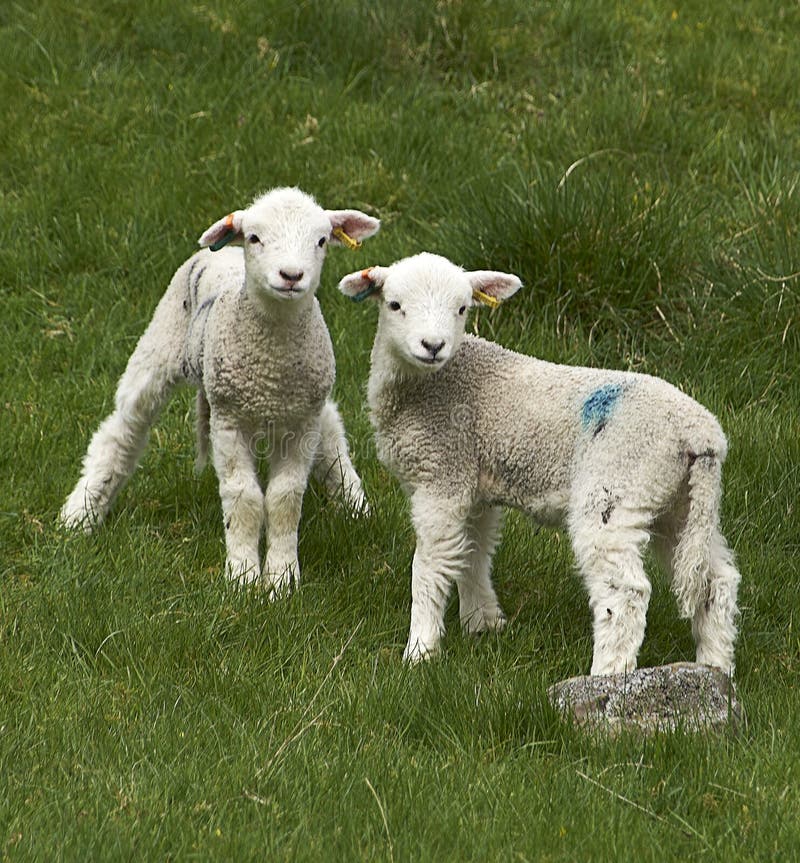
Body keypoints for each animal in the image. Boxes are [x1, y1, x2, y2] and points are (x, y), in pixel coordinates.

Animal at [61, 187, 380, 593]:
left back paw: (355, 506)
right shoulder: (229, 423)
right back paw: (81, 512)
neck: (271, 364)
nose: (291, 276)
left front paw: (282, 578)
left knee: (332, 434)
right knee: (121, 432)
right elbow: (244, 496)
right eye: (256, 238)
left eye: (321, 240)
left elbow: (285, 498)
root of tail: (224, 251)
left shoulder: (301, 421)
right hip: (158, 347)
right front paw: (243, 576)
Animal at [338, 252, 740, 675]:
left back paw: (607, 675)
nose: (433, 346)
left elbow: (429, 568)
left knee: (625, 591)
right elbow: (473, 554)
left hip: (617, 489)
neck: (433, 384)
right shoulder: (475, 485)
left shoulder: (442, 476)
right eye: (394, 305)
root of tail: (700, 435)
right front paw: (483, 623)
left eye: (462, 309)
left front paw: (420, 651)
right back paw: (716, 667)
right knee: (717, 581)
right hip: (679, 503)